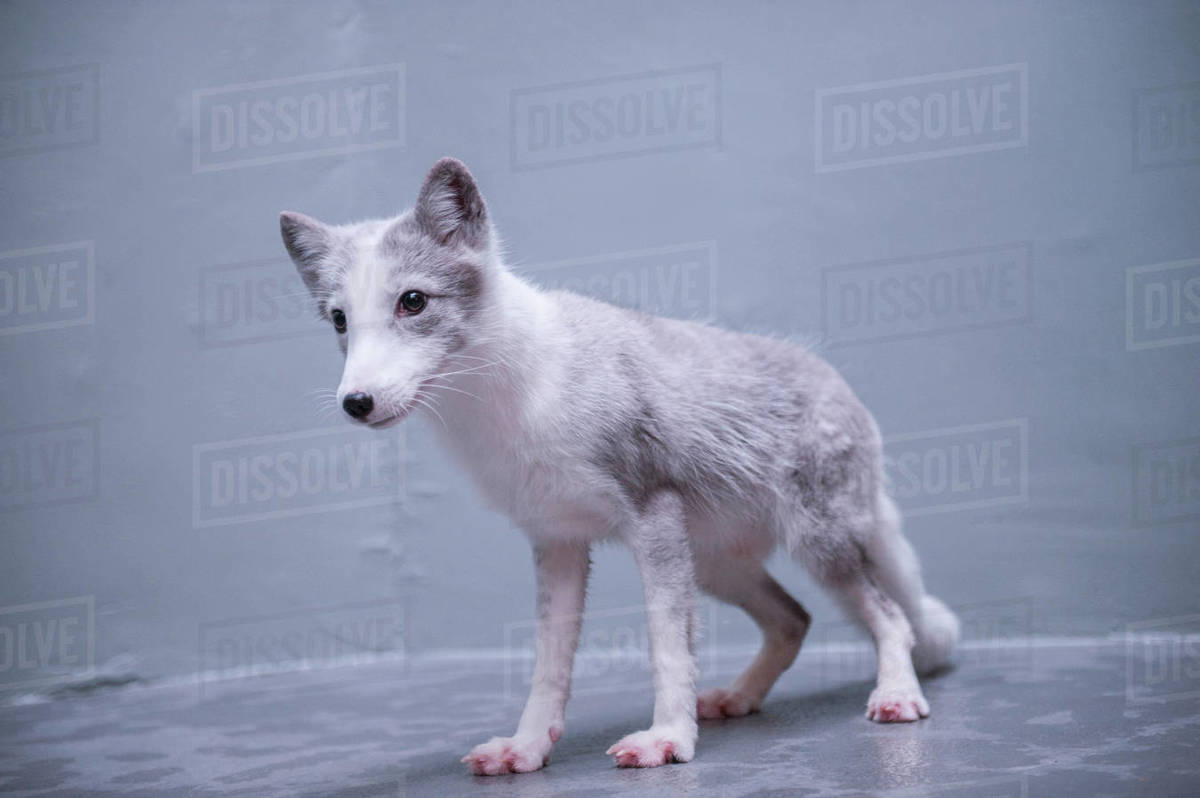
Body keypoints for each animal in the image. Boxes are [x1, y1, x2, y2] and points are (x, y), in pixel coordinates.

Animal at [279, 157, 960, 775]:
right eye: (339, 320)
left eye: (413, 301)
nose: (355, 402)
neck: (513, 406)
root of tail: (837, 382)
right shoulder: (556, 540)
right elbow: (549, 668)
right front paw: (527, 748)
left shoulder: (651, 516)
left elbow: (667, 650)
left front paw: (668, 740)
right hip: (713, 565)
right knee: (795, 619)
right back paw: (739, 698)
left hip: (814, 545)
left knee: (890, 616)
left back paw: (897, 694)